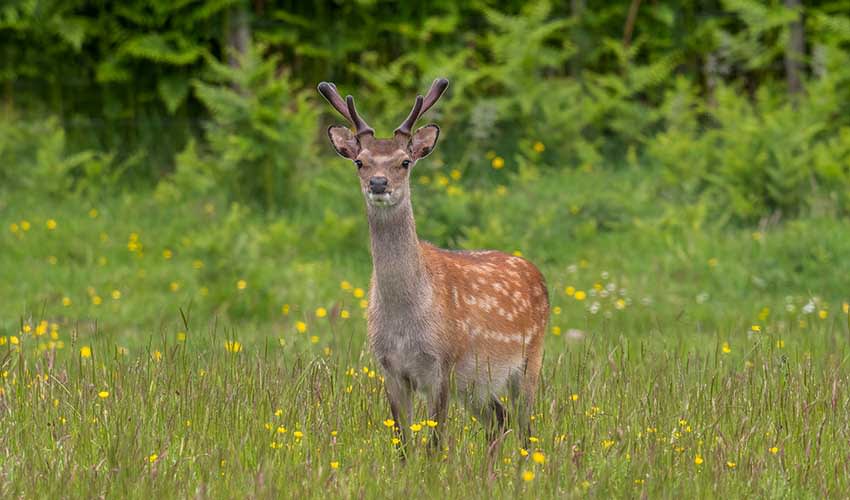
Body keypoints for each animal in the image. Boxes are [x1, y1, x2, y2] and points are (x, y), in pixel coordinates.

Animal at [317, 78, 549, 461]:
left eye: (405, 161)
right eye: (360, 161)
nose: (378, 183)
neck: (407, 321)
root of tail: (537, 274)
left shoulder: (441, 364)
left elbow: (435, 441)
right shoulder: (390, 368)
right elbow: (402, 441)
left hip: (530, 359)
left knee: (526, 428)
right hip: (476, 385)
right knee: (499, 418)